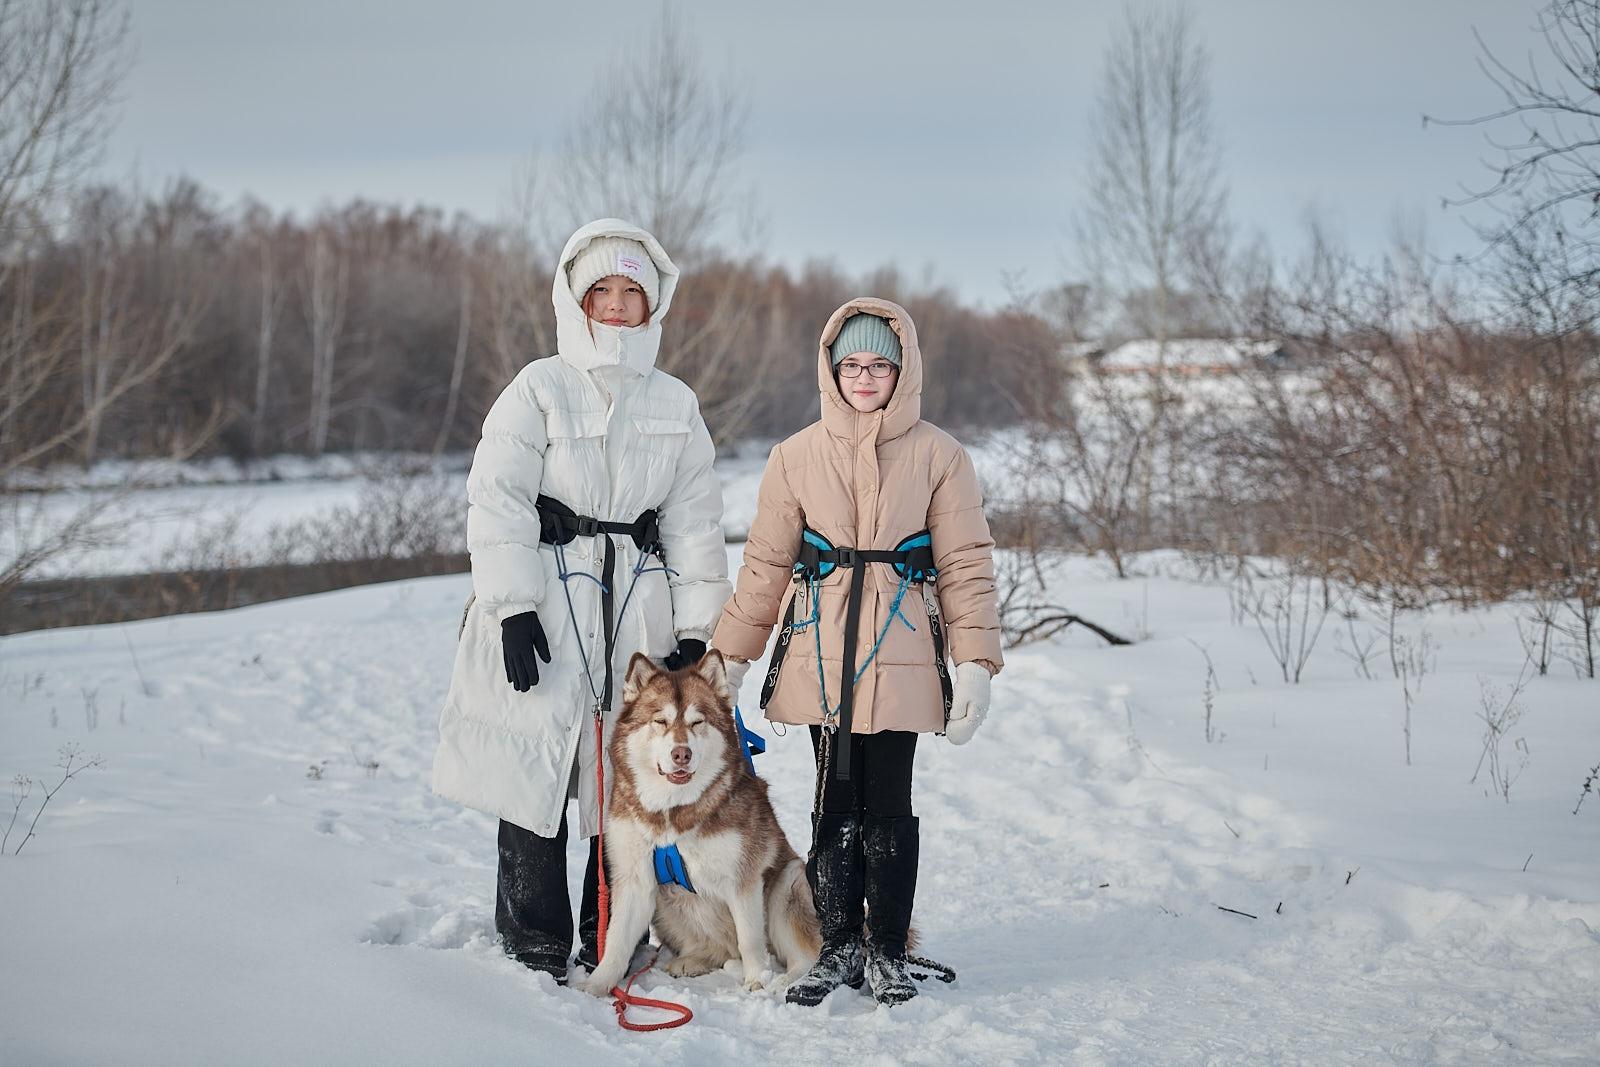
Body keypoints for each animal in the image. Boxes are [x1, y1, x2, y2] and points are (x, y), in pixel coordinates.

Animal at [576, 652, 819, 1004]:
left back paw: (783, 982)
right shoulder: (634, 879)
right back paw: (692, 960)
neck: (672, 813)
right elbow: (617, 942)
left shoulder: (743, 879)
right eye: (660, 721)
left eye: (697, 722)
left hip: (788, 882)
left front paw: (756, 981)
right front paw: (596, 985)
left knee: (806, 955)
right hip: (667, 908)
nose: (681, 753)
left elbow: (750, 938)